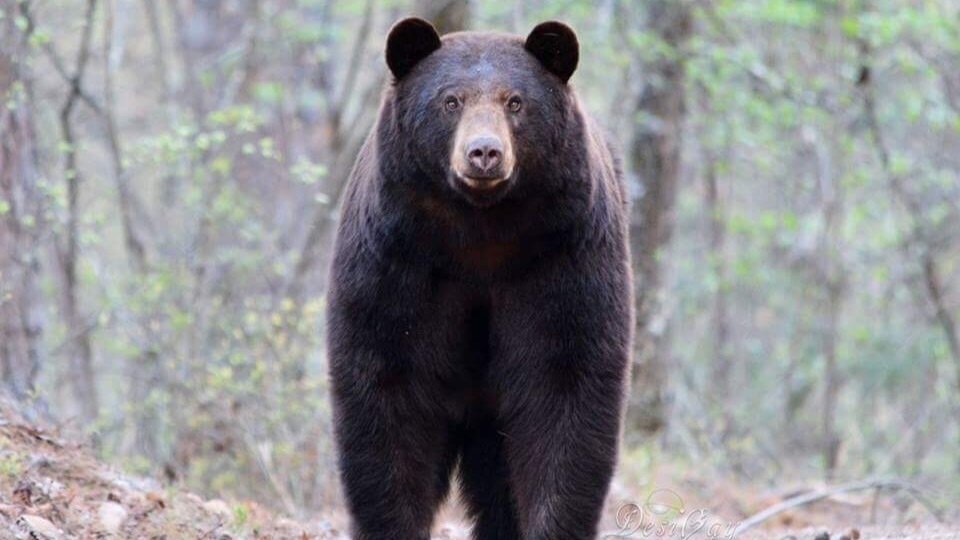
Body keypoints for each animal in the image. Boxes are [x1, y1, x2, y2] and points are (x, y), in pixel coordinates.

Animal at [326, 17, 633, 540]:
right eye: (451, 100)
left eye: (516, 101)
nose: (484, 152)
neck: (480, 233)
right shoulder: (398, 262)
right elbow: (387, 391)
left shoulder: (561, 259)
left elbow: (565, 386)